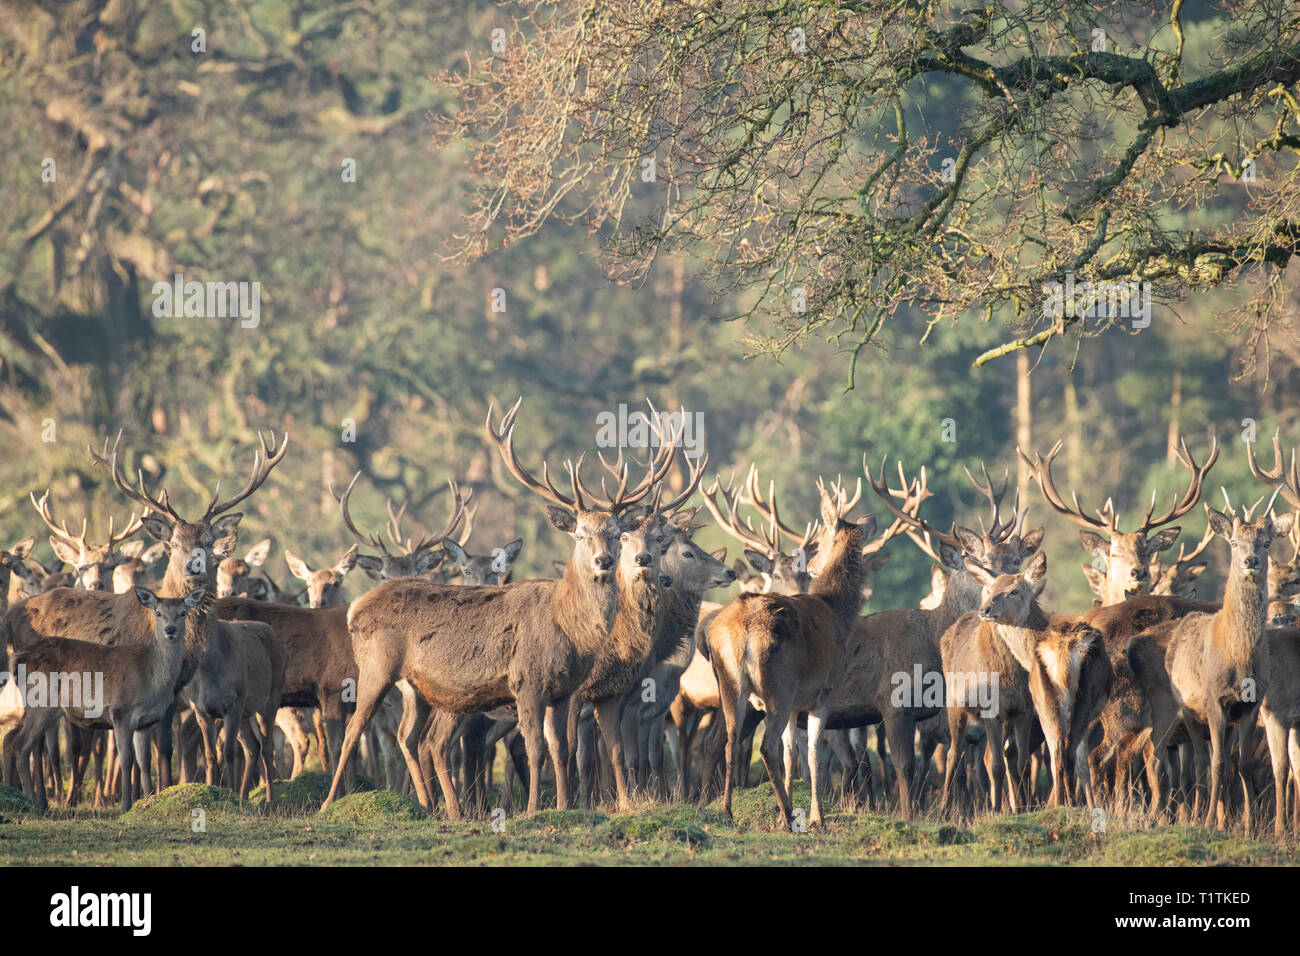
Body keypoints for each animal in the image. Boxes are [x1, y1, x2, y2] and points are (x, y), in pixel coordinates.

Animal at [8, 584, 206, 812]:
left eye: (183, 613)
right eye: (158, 613)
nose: (170, 630)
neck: (150, 677)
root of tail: (18, 660)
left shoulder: (145, 722)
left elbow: (145, 761)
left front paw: (147, 800)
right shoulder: (121, 713)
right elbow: (127, 759)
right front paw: (126, 805)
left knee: (27, 744)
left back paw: (38, 802)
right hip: (42, 704)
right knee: (21, 744)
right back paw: (32, 802)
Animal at [320, 398, 677, 816]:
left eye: (617, 533)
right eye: (579, 534)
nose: (603, 561)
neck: (567, 628)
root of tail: (355, 608)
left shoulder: (564, 692)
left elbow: (562, 750)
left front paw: (564, 806)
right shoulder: (527, 681)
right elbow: (536, 749)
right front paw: (534, 809)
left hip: (420, 689)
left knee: (412, 737)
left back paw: (433, 807)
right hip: (376, 666)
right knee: (355, 731)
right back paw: (330, 803)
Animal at [710, 472, 875, 830]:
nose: (811, 565)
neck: (838, 613)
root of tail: (741, 630)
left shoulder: (798, 703)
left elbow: (791, 752)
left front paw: (782, 804)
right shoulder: (823, 691)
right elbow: (812, 753)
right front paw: (816, 816)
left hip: (729, 683)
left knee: (730, 741)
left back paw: (728, 812)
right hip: (779, 685)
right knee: (766, 746)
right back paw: (788, 817)